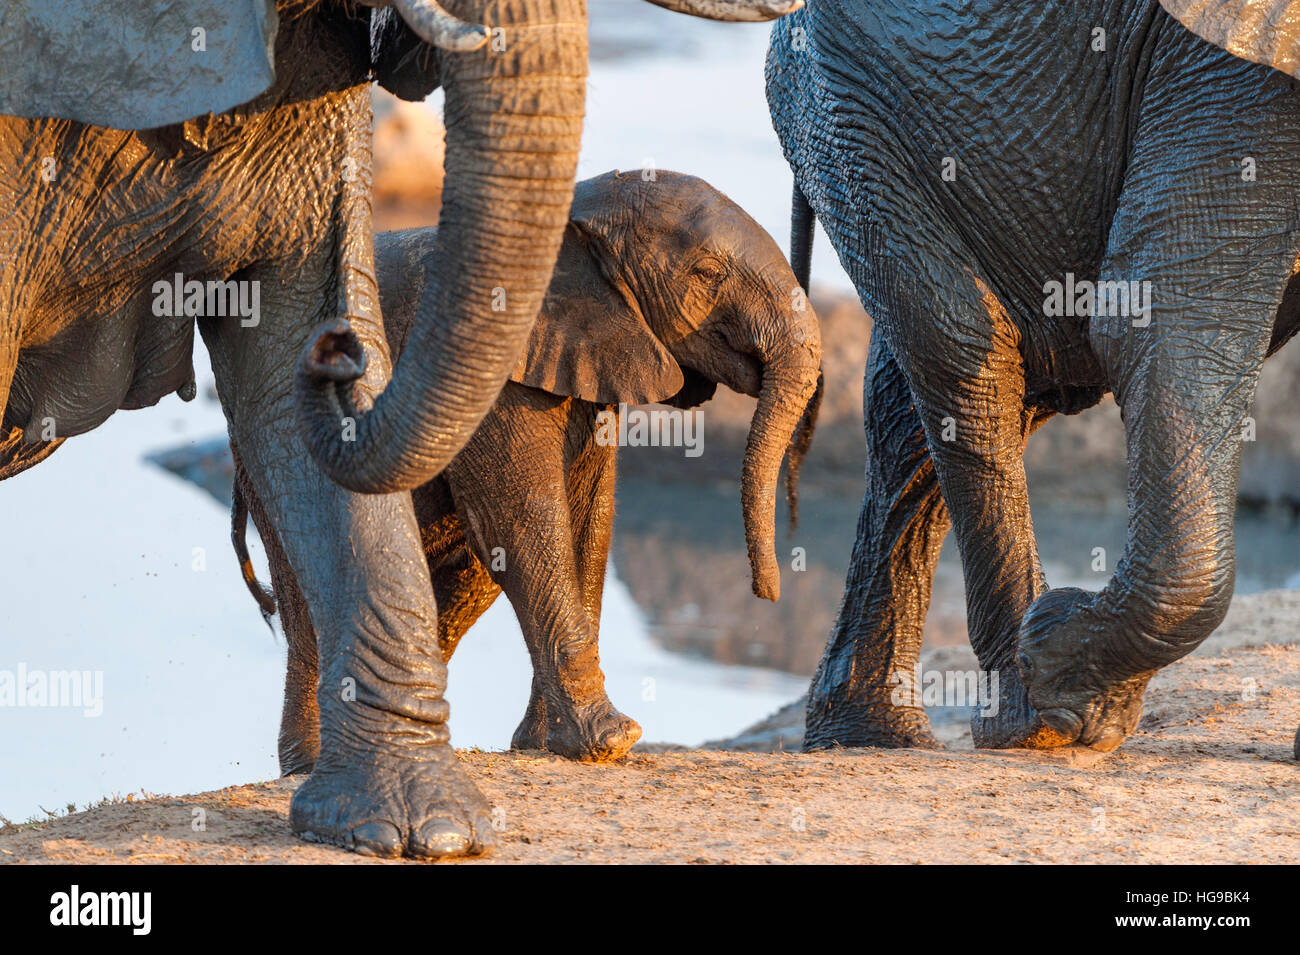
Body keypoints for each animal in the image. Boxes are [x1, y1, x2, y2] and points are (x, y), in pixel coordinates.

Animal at [232, 170, 823, 768]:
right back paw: (315, 764)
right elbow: (523, 523)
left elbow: (587, 525)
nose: (767, 593)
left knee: (462, 576)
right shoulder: (488, 378)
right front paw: (612, 741)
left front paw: (549, 746)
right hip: (272, 433)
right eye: (706, 273)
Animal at [766, 0, 1300, 753]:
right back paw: (1033, 718)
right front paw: (1057, 656)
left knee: (919, 409)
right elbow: (1163, 320)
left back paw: (872, 736)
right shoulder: (1220, 71)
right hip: (848, 107)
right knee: (972, 351)